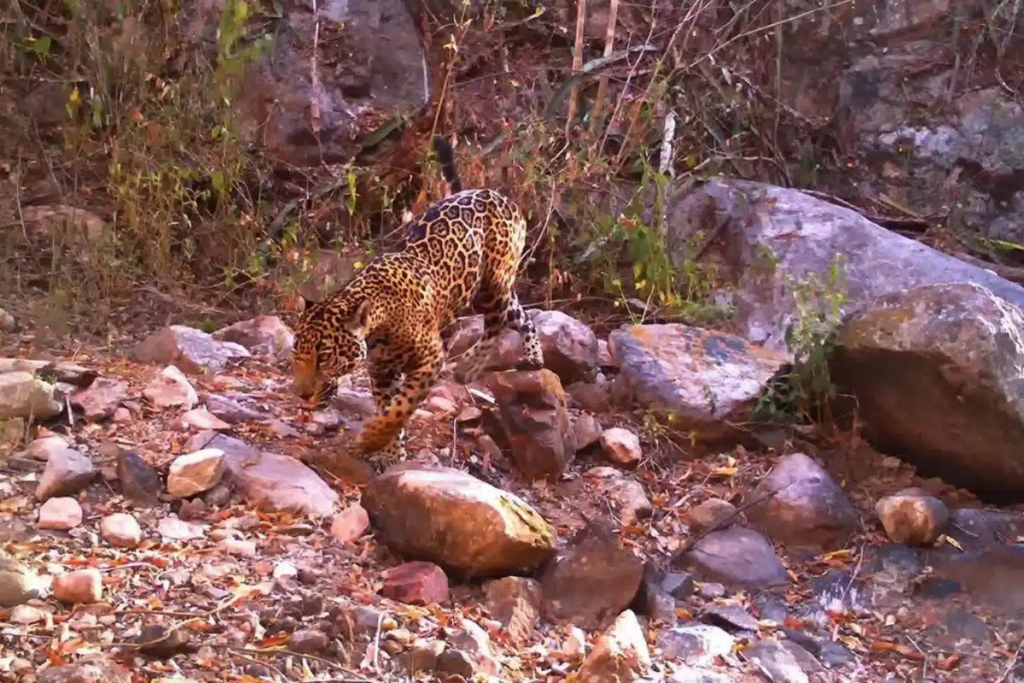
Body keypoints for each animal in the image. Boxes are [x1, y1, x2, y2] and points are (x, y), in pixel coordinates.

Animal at [290, 134, 545, 465]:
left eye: (323, 357)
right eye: (296, 353)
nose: (301, 395)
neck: (379, 322)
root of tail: (492, 193)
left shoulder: (429, 360)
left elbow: (401, 408)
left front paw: (373, 439)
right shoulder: (381, 372)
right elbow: (388, 408)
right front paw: (390, 452)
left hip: (493, 283)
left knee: (496, 322)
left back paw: (468, 366)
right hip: (486, 289)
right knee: (522, 317)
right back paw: (533, 357)